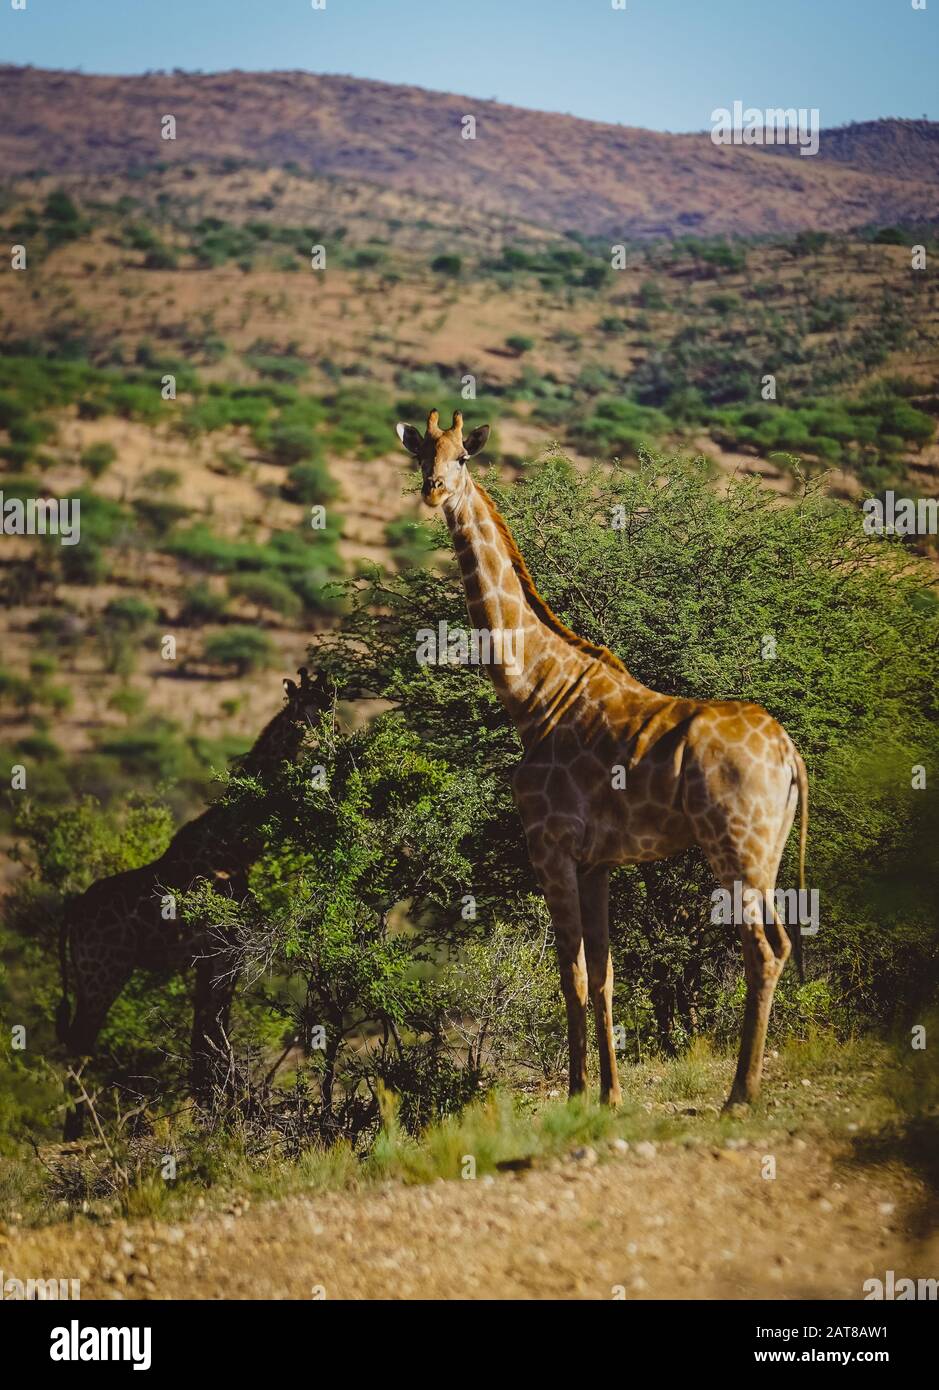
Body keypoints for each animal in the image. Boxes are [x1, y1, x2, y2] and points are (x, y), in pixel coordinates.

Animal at [56, 667, 333, 1137]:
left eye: (330, 704)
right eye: (301, 707)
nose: (319, 740)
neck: (235, 845)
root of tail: (72, 915)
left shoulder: (217, 957)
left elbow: (206, 1035)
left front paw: (221, 1107)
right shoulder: (224, 951)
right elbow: (211, 1035)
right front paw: (227, 1111)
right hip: (103, 973)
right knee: (79, 1044)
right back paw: (78, 1132)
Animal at [396, 410, 809, 1110]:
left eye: (463, 458)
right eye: (423, 453)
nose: (433, 490)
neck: (534, 692)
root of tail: (790, 753)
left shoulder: (550, 847)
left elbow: (571, 976)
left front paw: (574, 1095)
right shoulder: (598, 863)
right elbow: (606, 975)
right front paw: (612, 1095)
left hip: (735, 844)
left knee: (763, 949)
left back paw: (739, 1094)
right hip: (768, 852)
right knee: (775, 944)